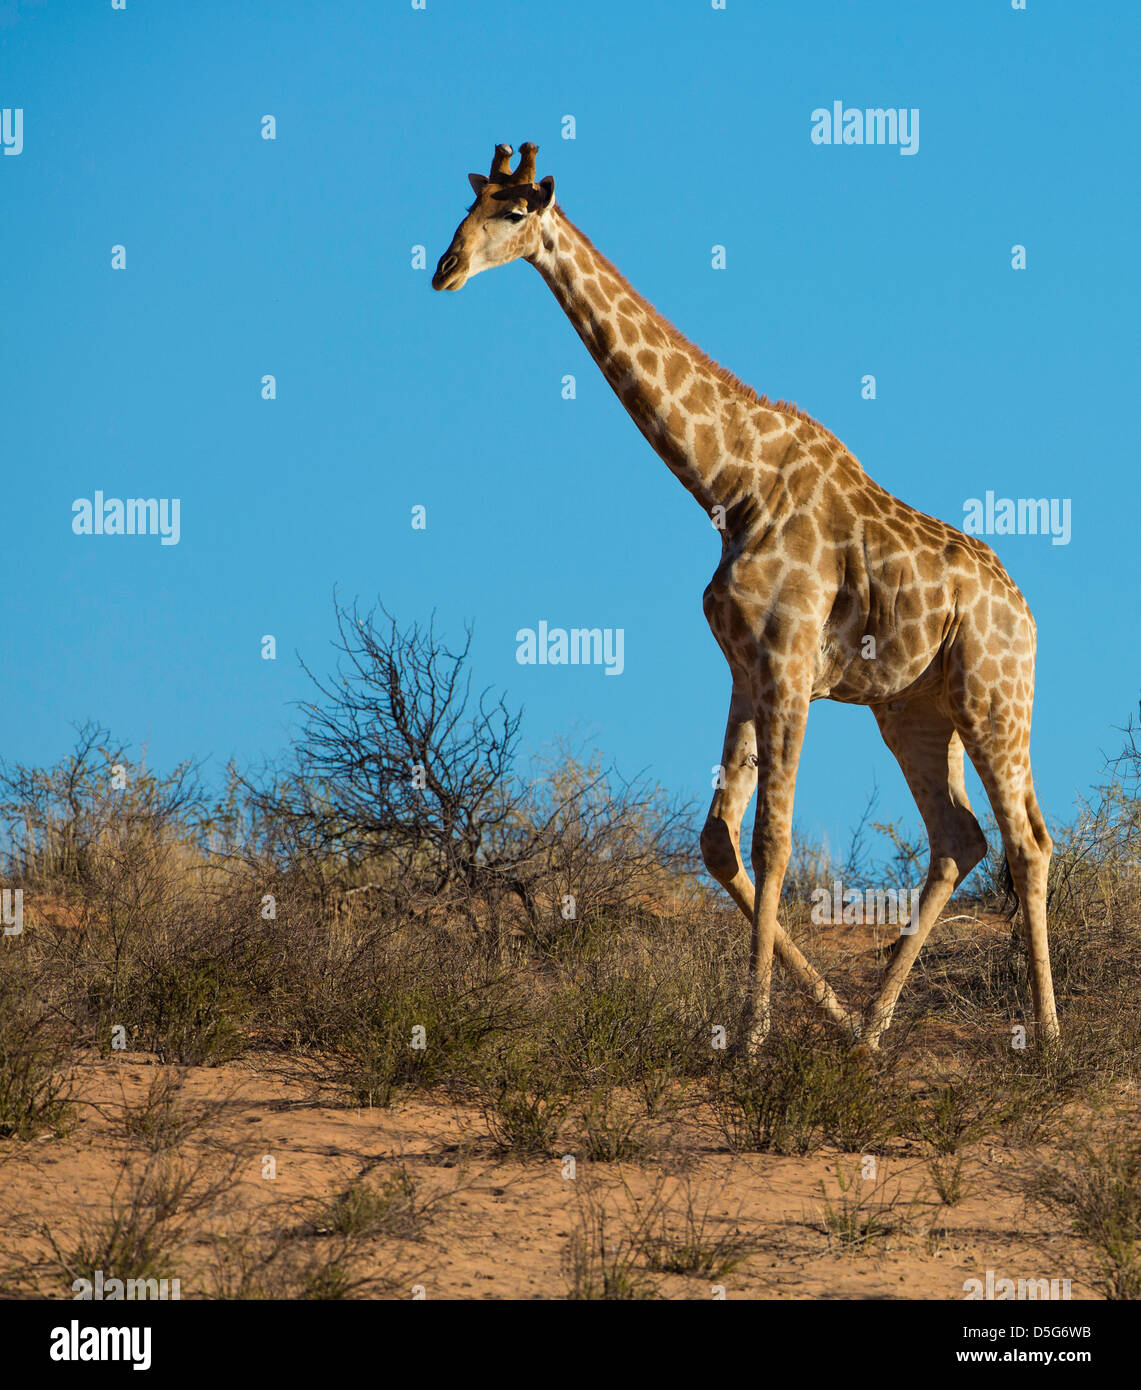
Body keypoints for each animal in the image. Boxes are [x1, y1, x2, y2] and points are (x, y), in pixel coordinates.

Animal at [432, 143, 1059, 1052]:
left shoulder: (789, 663)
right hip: (912, 709)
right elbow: (717, 844)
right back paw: (870, 1030)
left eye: (513, 214)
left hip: (992, 696)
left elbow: (772, 841)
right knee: (958, 838)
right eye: (465, 208)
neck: (728, 482)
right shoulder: (745, 667)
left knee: (1027, 842)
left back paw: (1046, 1039)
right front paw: (813, 1016)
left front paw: (756, 1035)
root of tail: (1026, 613)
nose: (442, 270)